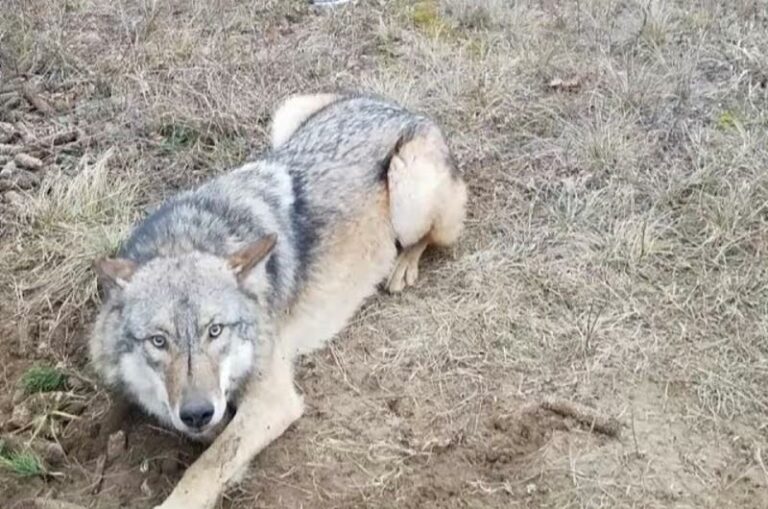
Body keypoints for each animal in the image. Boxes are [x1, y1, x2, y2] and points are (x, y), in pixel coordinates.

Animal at [89, 93, 468, 509]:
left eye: (215, 331)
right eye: (159, 341)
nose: (197, 413)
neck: (186, 240)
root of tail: (397, 106)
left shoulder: (273, 401)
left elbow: (204, 468)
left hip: (410, 194)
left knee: (426, 238)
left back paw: (402, 266)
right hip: (287, 115)